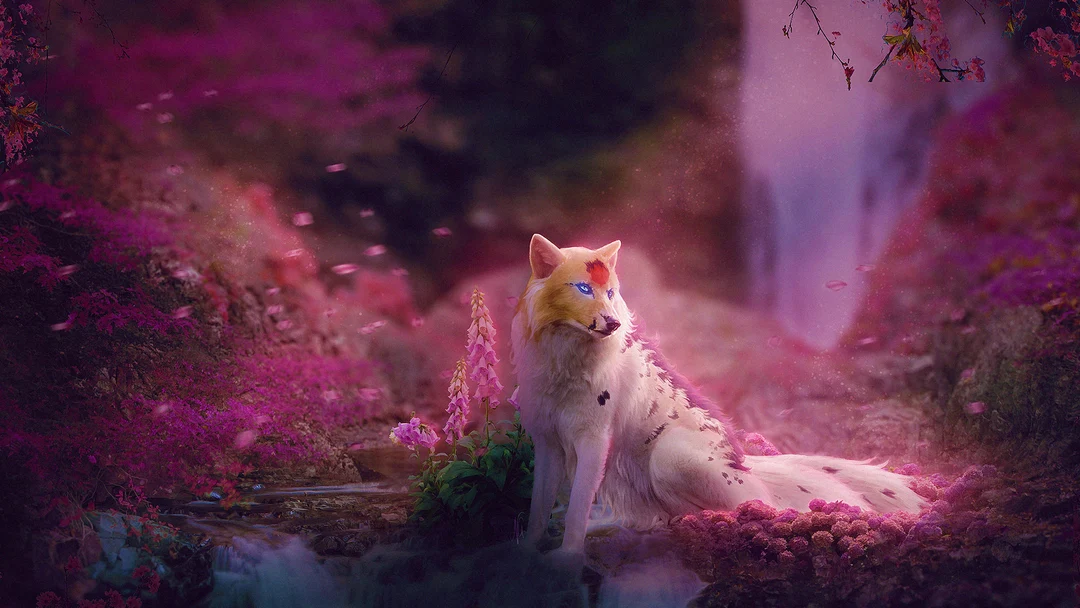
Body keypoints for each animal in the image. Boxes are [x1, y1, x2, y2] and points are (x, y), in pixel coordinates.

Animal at [510, 234, 925, 555]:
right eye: (583, 288)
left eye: (610, 292)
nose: (612, 323)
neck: (564, 365)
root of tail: (742, 461)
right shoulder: (547, 443)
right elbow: (538, 508)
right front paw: (526, 555)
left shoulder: (595, 441)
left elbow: (576, 508)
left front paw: (566, 559)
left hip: (669, 458)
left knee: (761, 508)